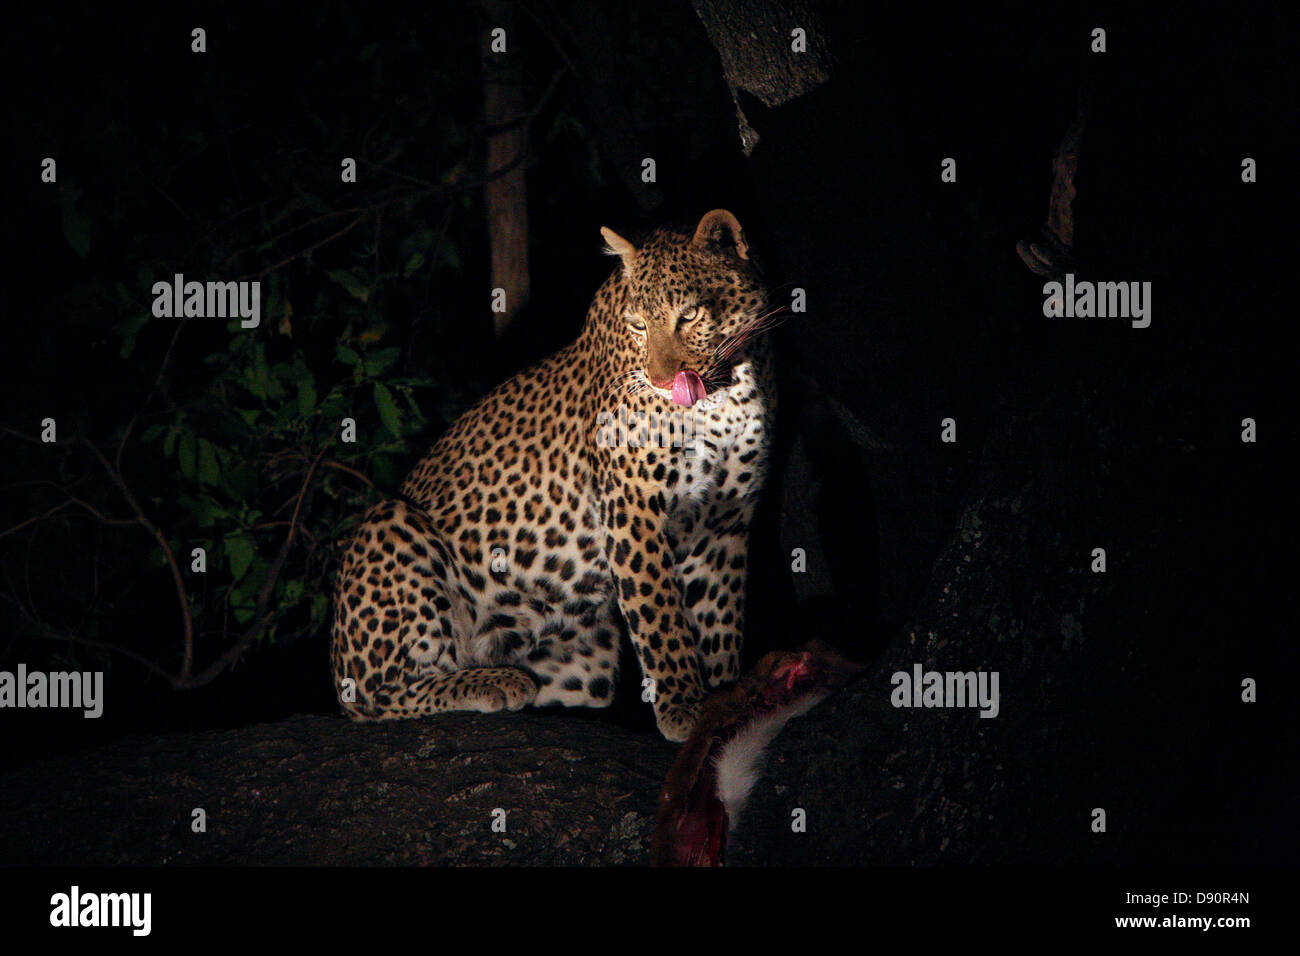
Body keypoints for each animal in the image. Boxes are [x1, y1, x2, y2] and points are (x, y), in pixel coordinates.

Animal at [330, 209, 777, 741]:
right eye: (639, 325)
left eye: (688, 316)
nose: (663, 381)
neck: (727, 393)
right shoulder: (633, 510)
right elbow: (660, 614)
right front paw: (684, 706)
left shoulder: (723, 523)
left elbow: (719, 623)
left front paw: (724, 698)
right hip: (390, 526)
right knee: (373, 698)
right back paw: (491, 682)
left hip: (585, 662)